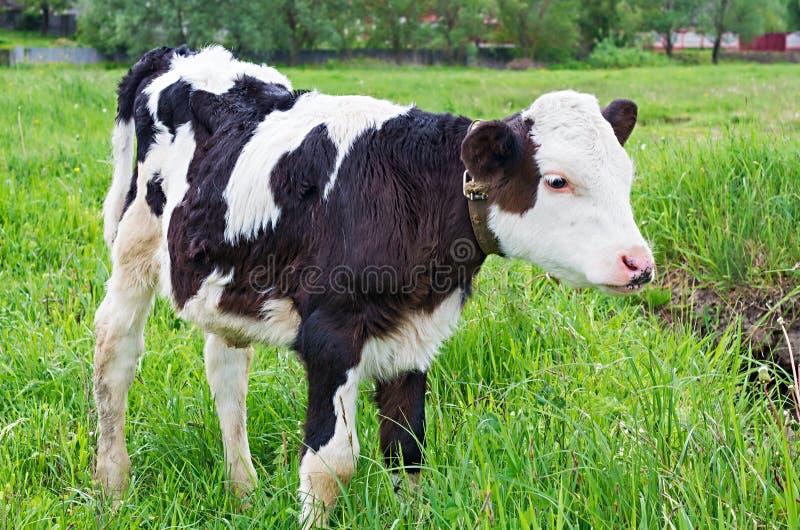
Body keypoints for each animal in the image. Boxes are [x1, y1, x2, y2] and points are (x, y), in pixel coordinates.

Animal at [94, 45, 655, 529]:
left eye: (625, 176)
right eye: (557, 180)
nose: (640, 263)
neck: (406, 190)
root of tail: (180, 53)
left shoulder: (414, 334)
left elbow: (407, 449)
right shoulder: (330, 336)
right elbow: (332, 463)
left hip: (224, 279)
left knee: (226, 368)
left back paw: (243, 490)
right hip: (135, 238)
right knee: (114, 349)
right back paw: (113, 487)